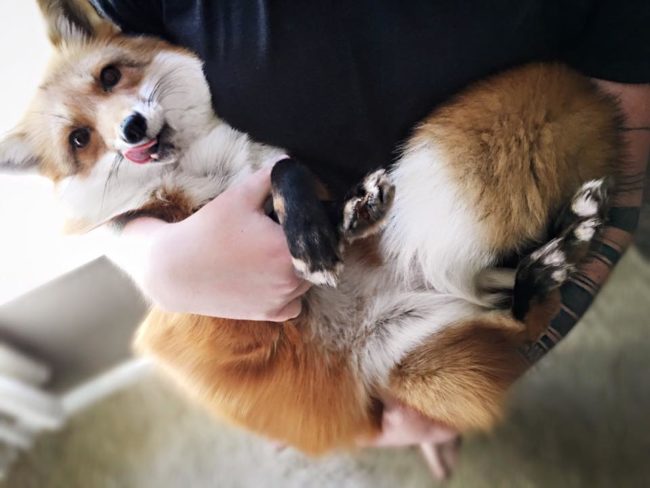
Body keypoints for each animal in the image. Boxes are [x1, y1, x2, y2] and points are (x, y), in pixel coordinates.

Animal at [0, 0, 620, 455]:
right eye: (80, 139)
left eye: (109, 76)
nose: (131, 129)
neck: (209, 174)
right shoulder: (217, 312)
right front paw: (327, 231)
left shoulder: (284, 172)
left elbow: (286, 170)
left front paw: (323, 228)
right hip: (430, 365)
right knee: (516, 313)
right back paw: (554, 257)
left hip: (435, 360)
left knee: (518, 313)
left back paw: (565, 242)